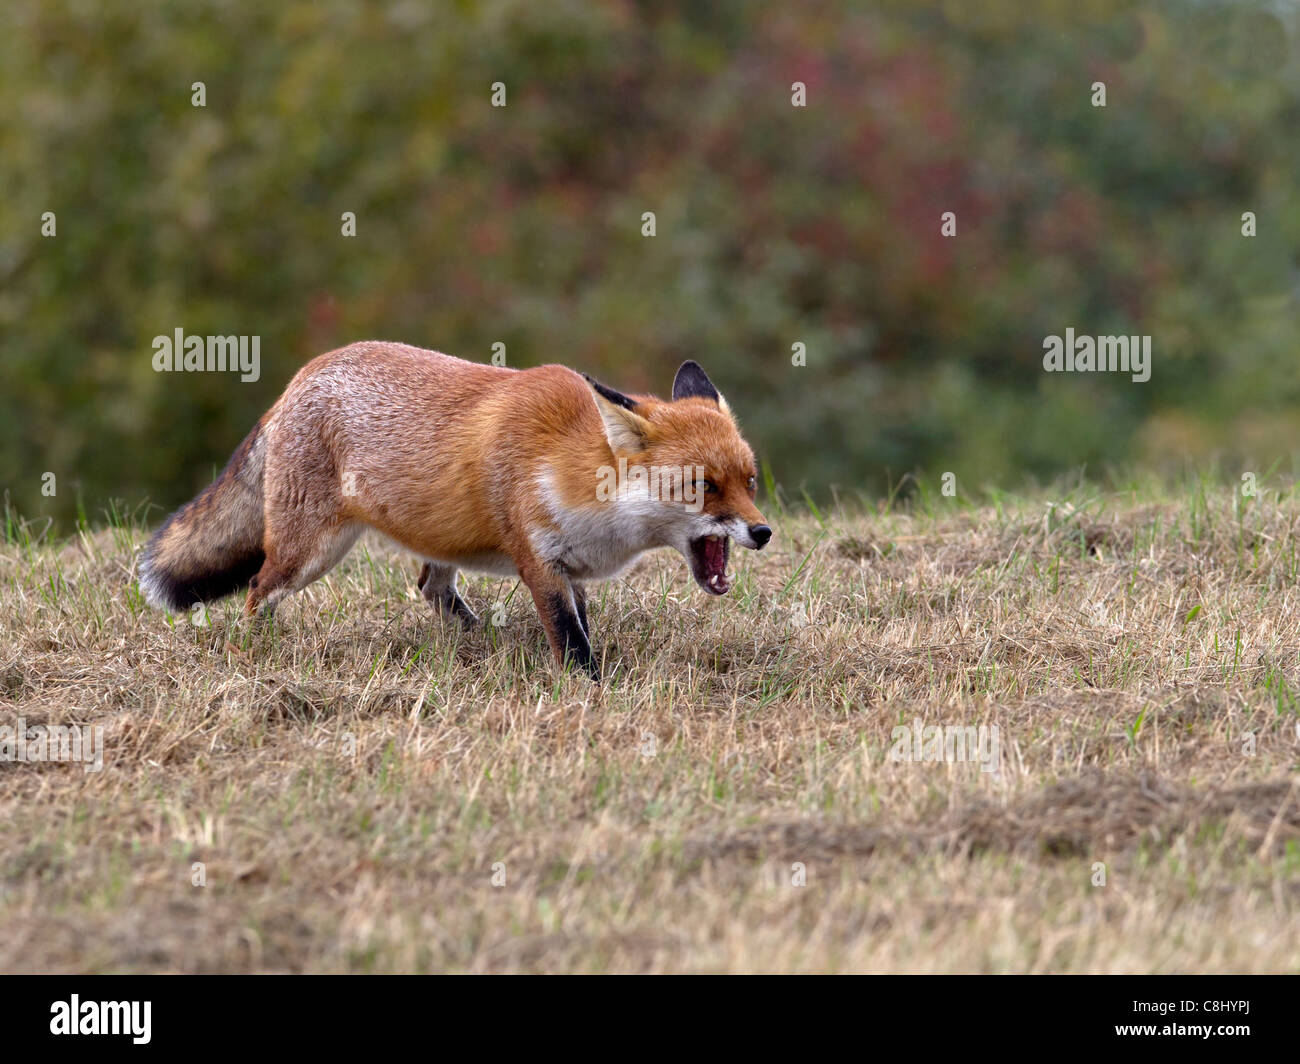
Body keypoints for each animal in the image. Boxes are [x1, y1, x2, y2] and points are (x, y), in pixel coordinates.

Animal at [138, 342, 772, 681]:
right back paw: (256, 649)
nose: (763, 531)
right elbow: (571, 641)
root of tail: (299, 379)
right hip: (308, 553)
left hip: (436, 542)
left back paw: (481, 640)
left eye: (749, 481)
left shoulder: (569, 568)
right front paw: (591, 691)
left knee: (429, 587)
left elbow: (582, 627)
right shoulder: (538, 560)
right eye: (703, 486)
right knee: (256, 591)